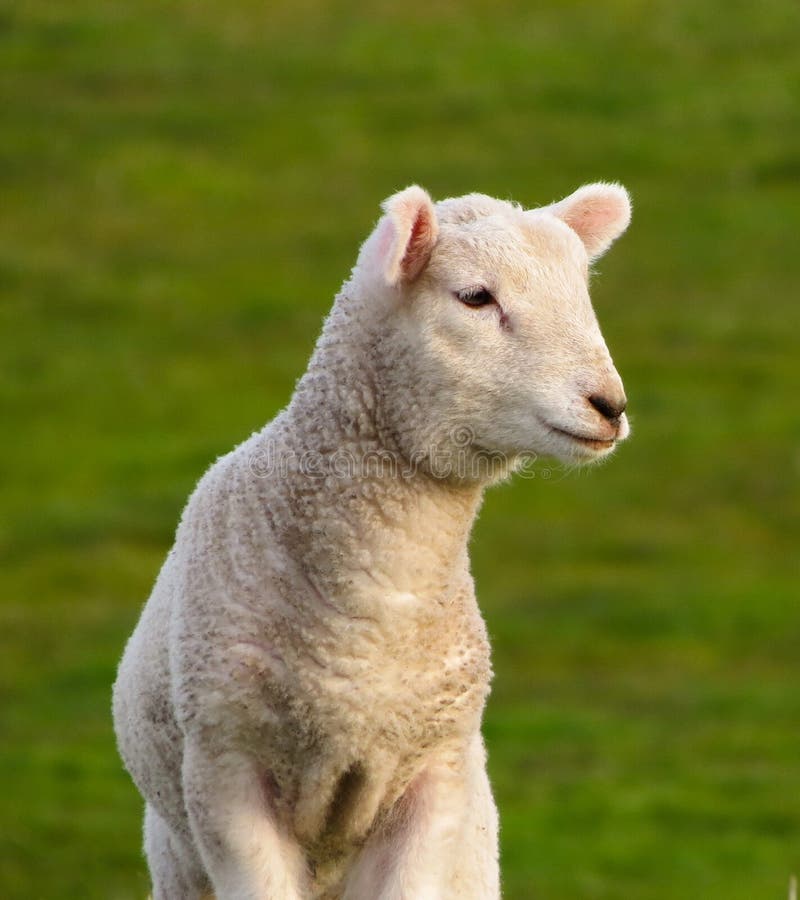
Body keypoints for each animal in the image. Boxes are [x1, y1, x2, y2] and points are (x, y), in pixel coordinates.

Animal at [113, 181, 632, 900]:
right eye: (477, 297)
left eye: (581, 292)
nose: (610, 405)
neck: (370, 618)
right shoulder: (225, 768)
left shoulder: (432, 777)